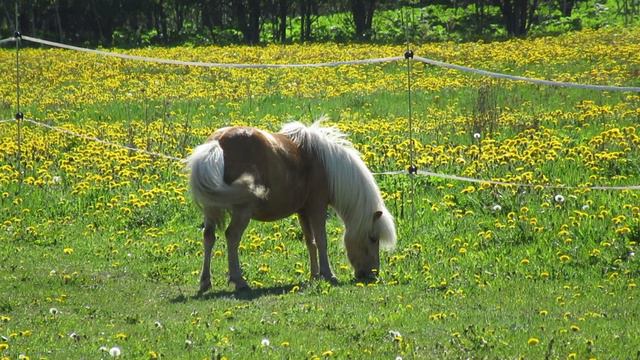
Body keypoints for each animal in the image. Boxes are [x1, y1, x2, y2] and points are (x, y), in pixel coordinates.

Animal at [184, 119, 396, 294]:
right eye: (373, 238)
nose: (371, 275)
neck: (324, 164)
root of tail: (217, 143)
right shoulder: (317, 208)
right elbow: (321, 241)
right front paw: (329, 275)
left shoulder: (303, 212)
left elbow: (310, 242)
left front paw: (315, 275)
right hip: (242, 211)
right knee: (232, 236)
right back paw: (240, 281)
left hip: (211, 209)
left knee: (209, 237)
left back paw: (205, 282)